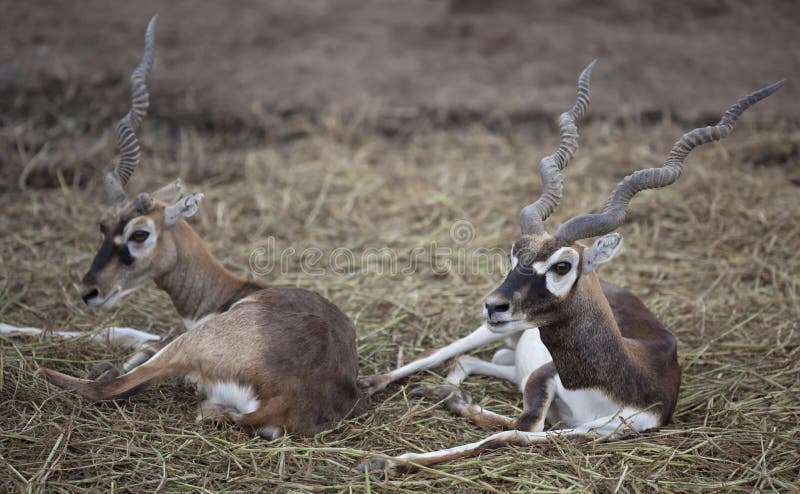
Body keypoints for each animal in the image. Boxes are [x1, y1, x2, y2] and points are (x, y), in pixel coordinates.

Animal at [35, 16, 364, 439]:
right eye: (103, 226)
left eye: (140, 233)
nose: (89, 291)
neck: (227, 295)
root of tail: (283, 399)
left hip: (188, 346)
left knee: (107, 387)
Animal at [358, 61, 783, 474]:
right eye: (514, 254)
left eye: (562, 265)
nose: (494, 305)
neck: (614, 383)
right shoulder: (544, 376)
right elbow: (520, 424)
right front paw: (387, 457)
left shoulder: (605, 429)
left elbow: (511, 434)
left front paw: (391, 458)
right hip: (497, 332)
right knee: (445, 355)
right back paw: (372, 385)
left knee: (478, 367)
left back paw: (445, 392)